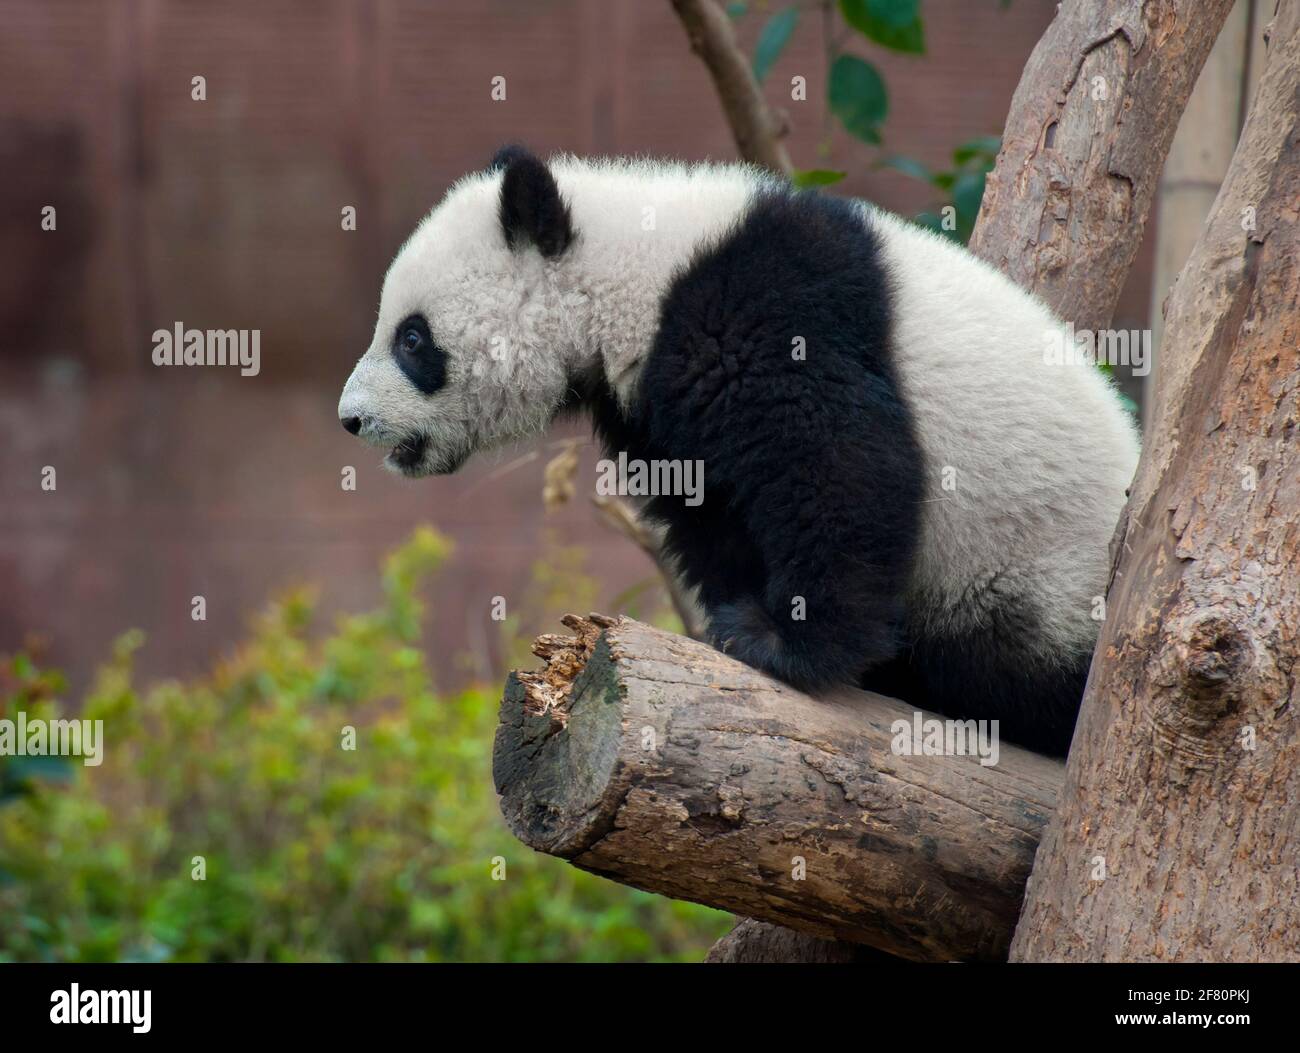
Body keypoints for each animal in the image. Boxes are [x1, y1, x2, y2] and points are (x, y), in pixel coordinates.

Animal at [338, 145, 1140, 757]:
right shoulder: (658, 409)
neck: (632, 267)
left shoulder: (763, 308)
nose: (351, 419)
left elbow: (839, 459)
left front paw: (778, 641)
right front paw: (739, 615)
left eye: (412, 339)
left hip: (1032, 573)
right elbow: (712, 507)